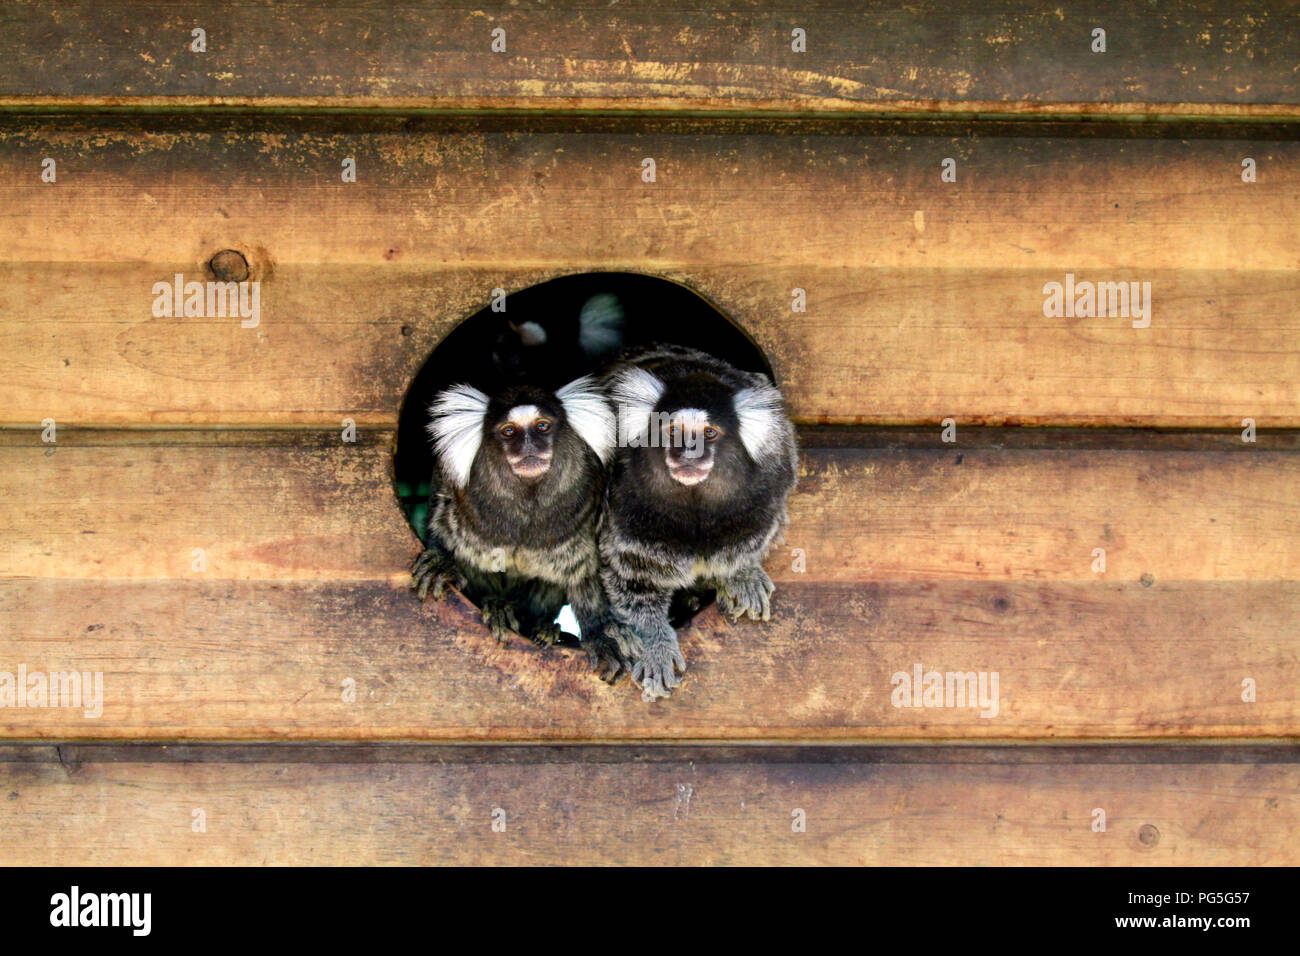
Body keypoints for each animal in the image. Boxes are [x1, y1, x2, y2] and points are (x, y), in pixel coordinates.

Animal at [411, 375, 629, 680]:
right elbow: (440, 516)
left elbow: (588, 575)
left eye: (542, 426)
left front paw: (600, 634)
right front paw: (441, 561)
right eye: (509, 431)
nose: (529, 447)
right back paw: (498, 606)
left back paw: (541, 628)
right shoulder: (451, 481)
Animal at [599, 344, 798, 700]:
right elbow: (632, 577)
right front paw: (654, 643)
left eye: (709, 433)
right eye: (672, 430)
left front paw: (742, 575)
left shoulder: (774, 475)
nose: (689, 454)